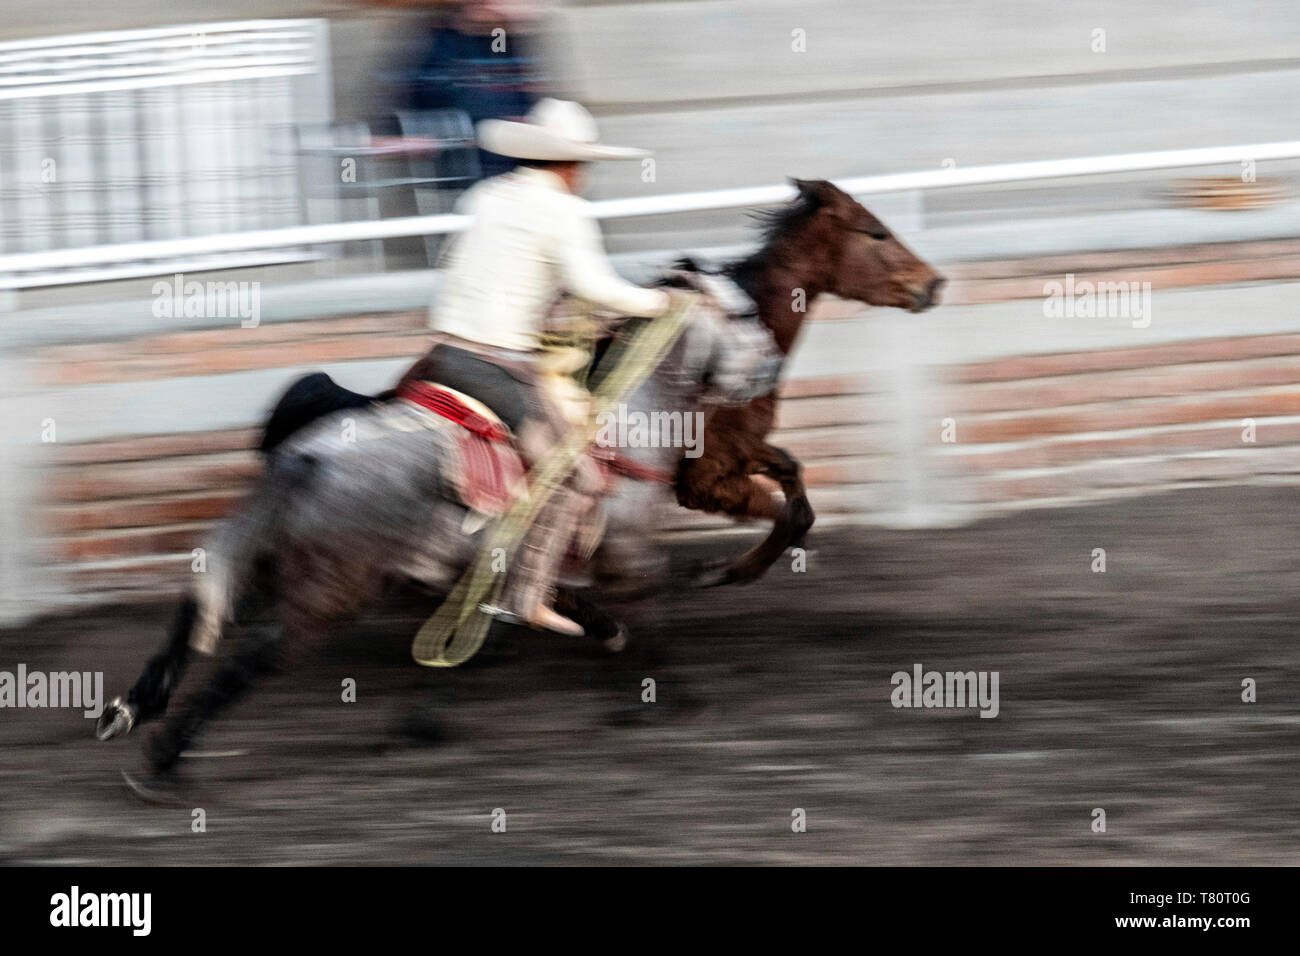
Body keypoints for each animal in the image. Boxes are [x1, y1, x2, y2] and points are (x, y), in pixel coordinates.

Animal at [94, 293, 780, 786]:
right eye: (740, 314)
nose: (772, 360)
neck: (624, 421)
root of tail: (306, 459)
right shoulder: (626, 551)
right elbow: (649, 605)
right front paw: (669, 694)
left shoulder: (491, 570)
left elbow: (475, 638)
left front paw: (423, 722)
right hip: (329, 591)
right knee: (254, 655)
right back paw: (164, 760)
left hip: (282, 562)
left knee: (197, 615)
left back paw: (132, 711)